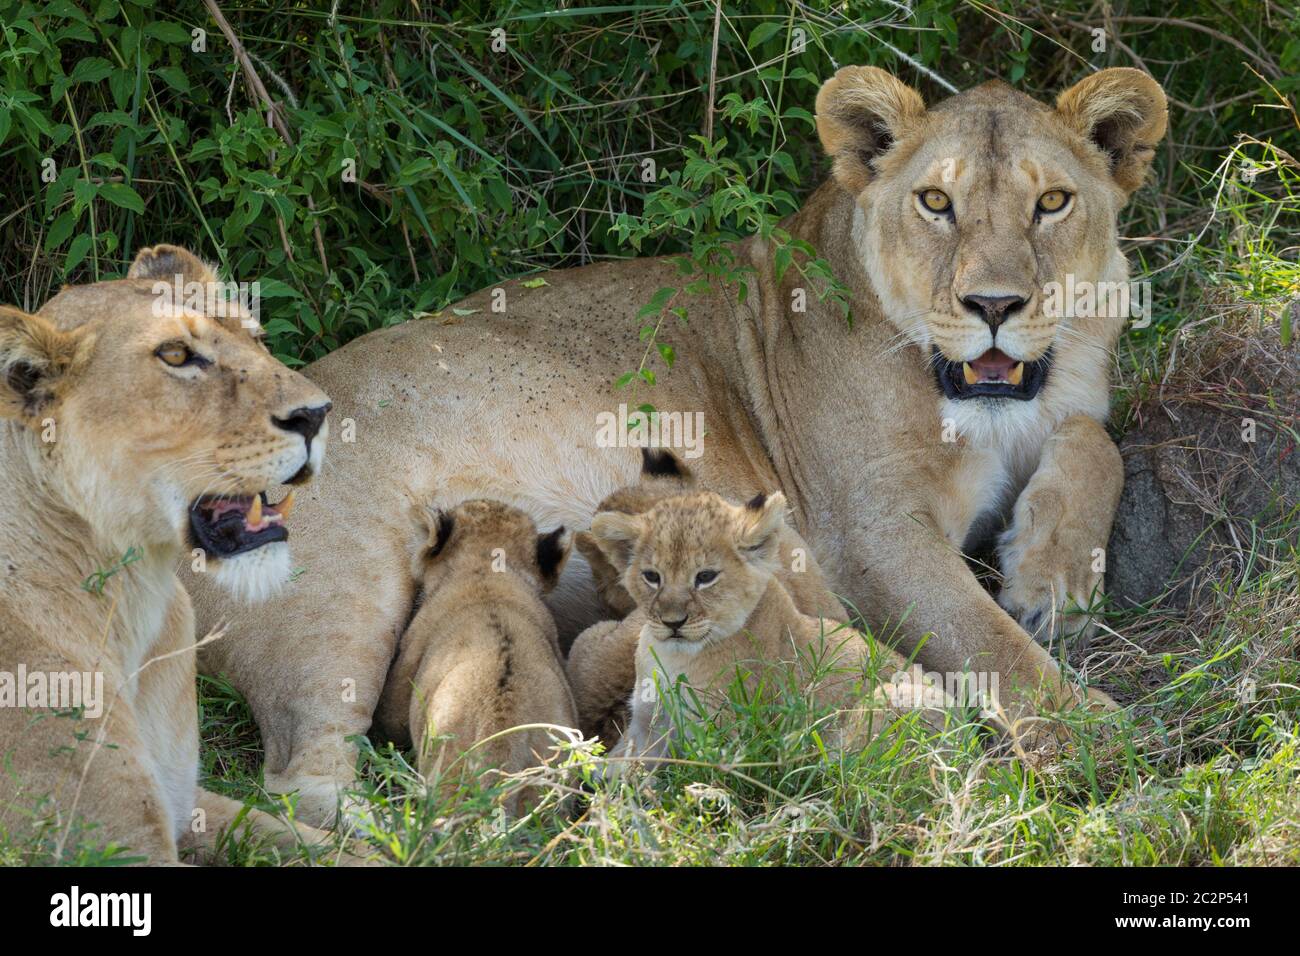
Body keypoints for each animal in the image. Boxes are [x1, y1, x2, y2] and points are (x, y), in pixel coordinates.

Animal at [0, 245, 344, 864]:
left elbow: (323, 845)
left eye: (256, 338)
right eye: (177, 355)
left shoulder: (186, 803)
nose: (317, 413)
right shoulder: (114, 841)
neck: (135, 596)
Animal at [583, 490, 951, 765]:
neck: (673, 656)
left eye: (705, 577)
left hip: (895, 694)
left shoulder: (725, 740)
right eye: (651, 576)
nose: (673, 622)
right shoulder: (647, 726)